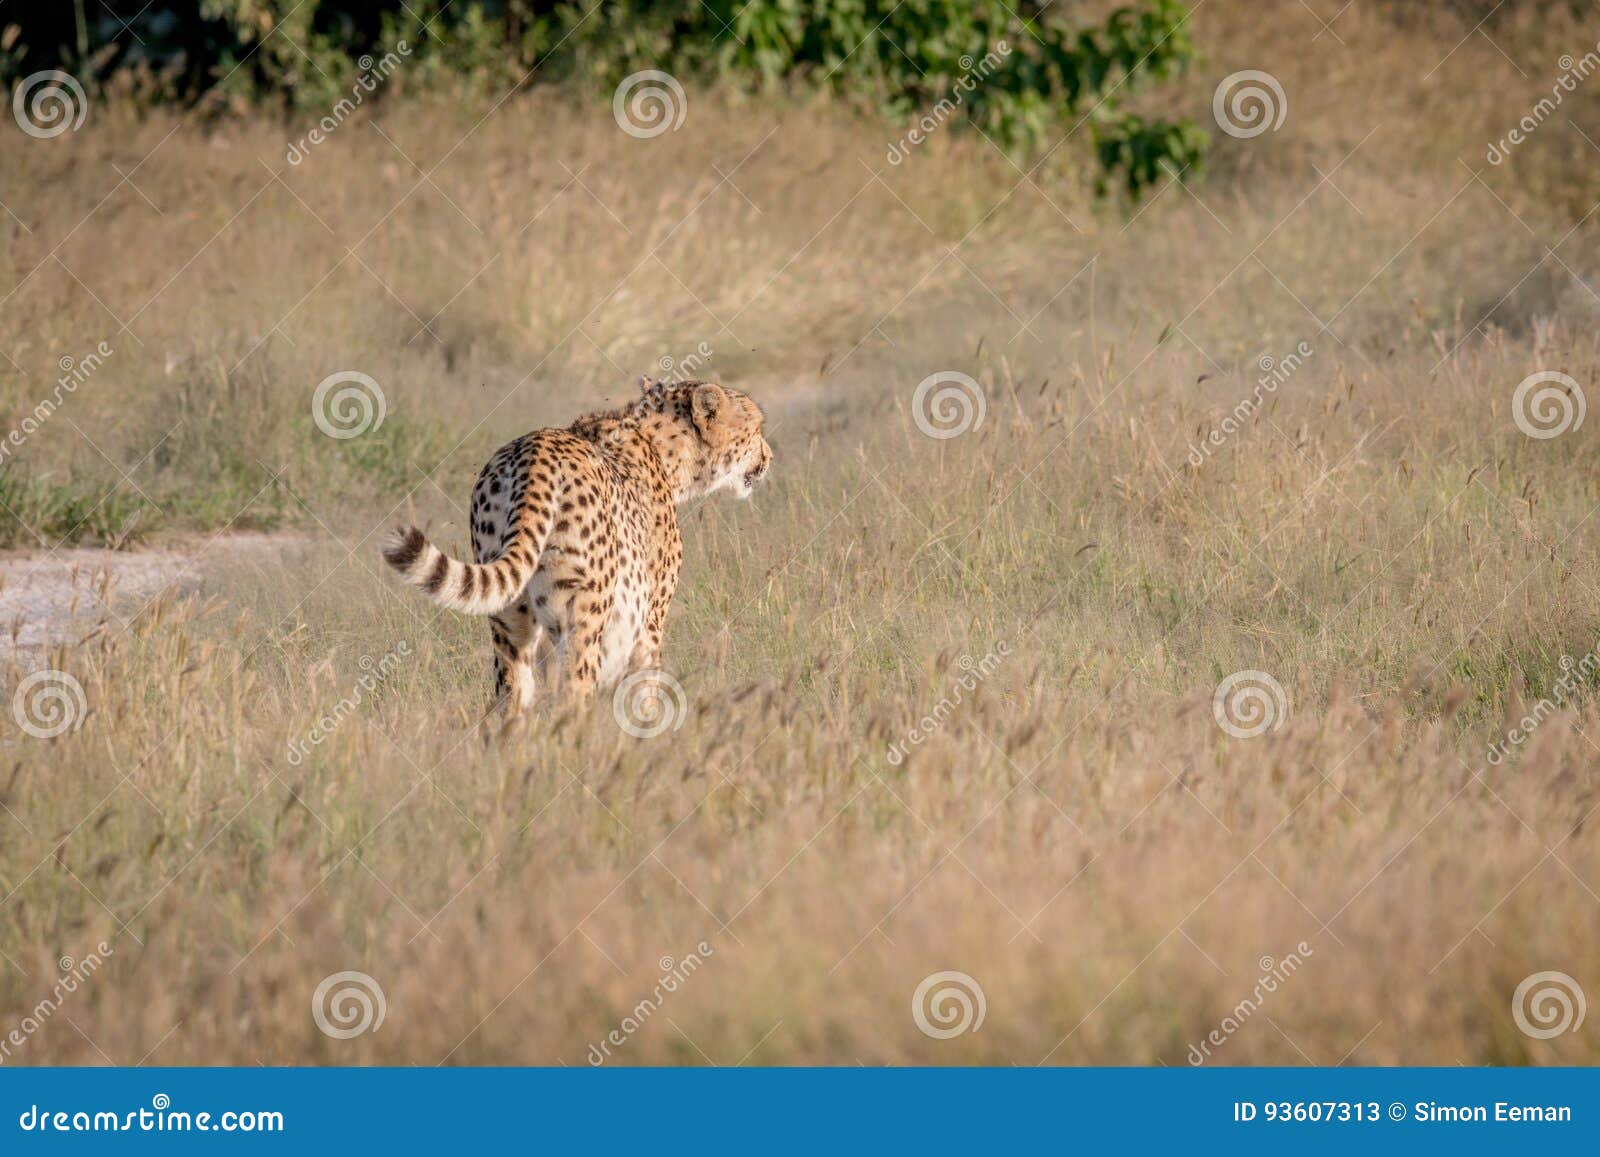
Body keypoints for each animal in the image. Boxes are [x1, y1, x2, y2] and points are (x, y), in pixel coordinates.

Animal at [381, 377, 772, 718]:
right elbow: (644, 686)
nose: (768, 456)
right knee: (574, 692)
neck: (661, 443)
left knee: (512, 694)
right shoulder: (648, 621)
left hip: (510, 616)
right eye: (756, 428)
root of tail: (533, 450)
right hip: (584, 612)